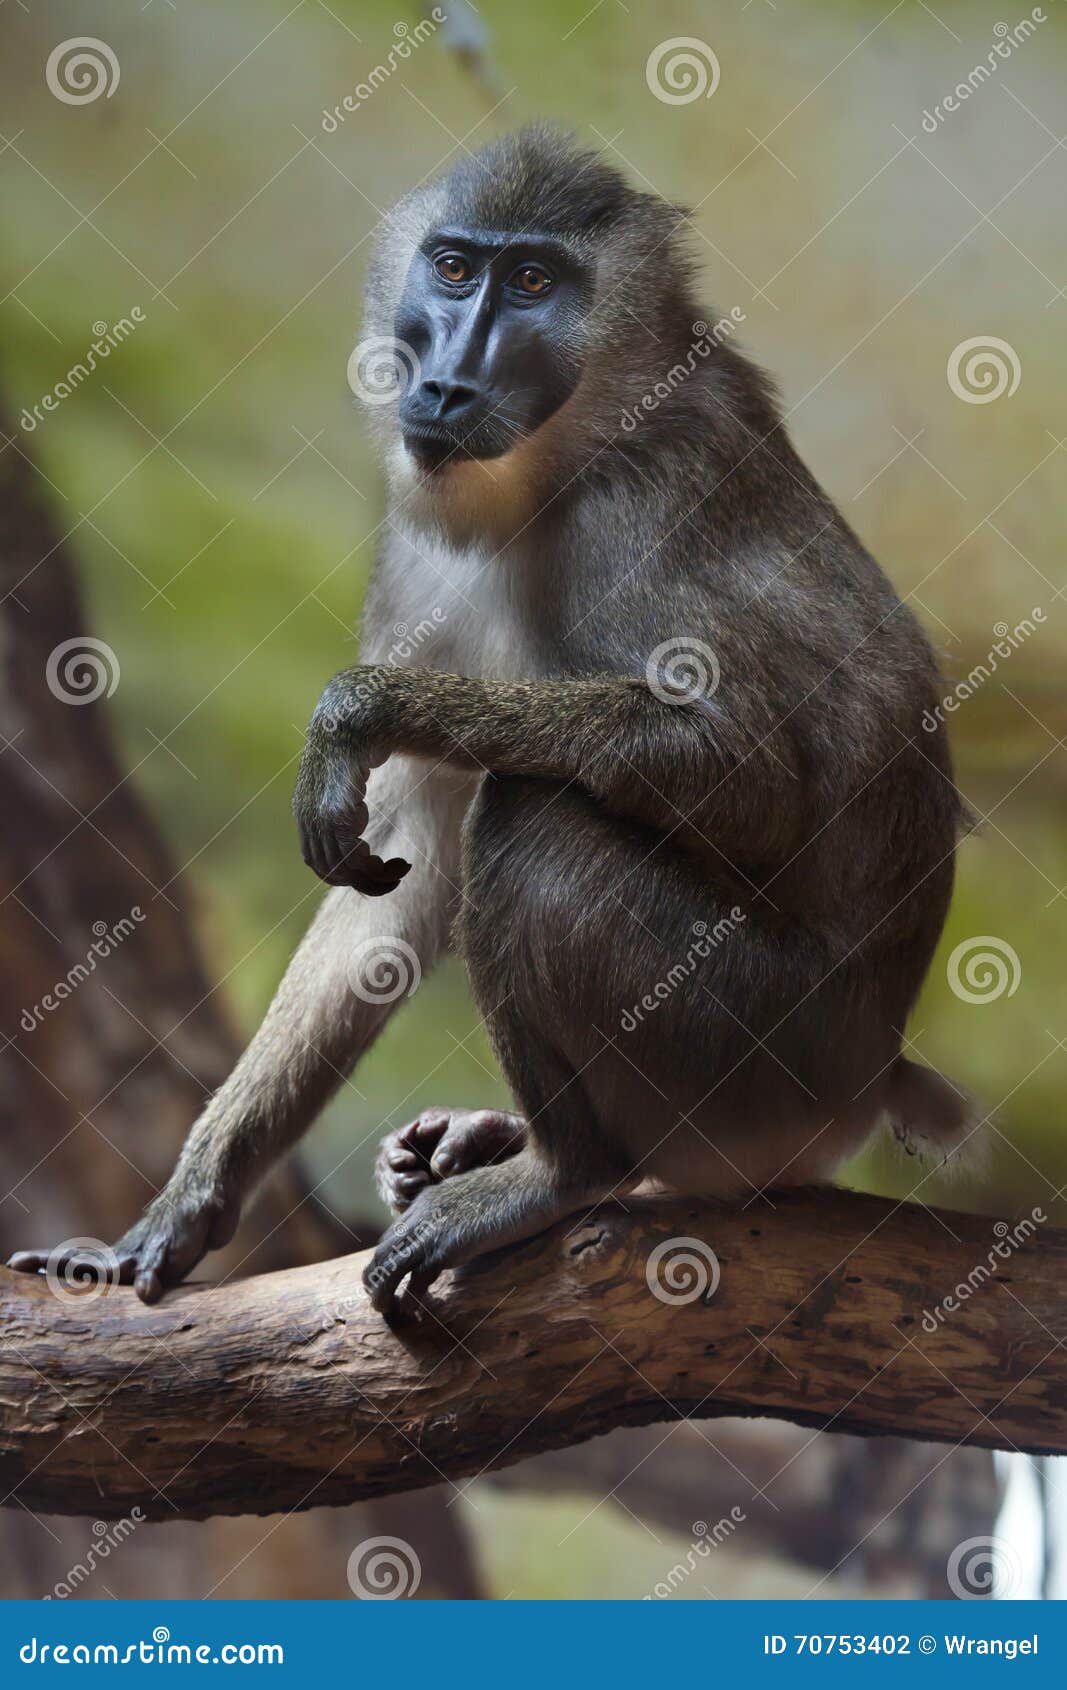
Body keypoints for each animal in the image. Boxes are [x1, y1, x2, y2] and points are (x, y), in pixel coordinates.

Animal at [11, 125, 974, 1315]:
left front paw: (355, 714)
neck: (550, 459)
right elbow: (402, 863)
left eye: (533, 284)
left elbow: (747, 773)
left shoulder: (645, 499)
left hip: (753, 1062)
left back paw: (561, 1171)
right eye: (456, 268)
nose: (446, 382)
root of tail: (869, 1082)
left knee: (535, 818)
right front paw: (184, 1208)